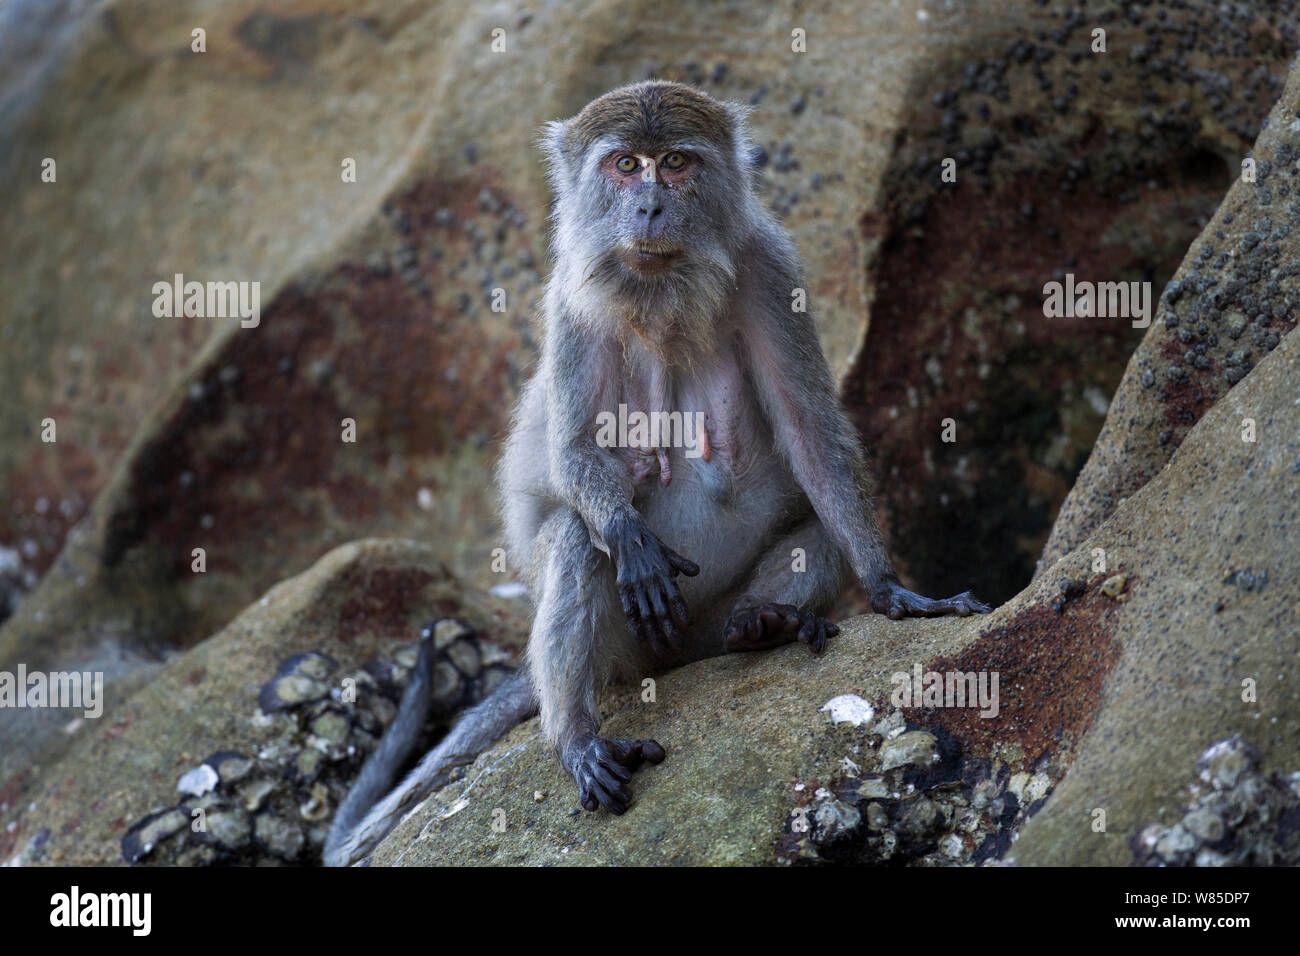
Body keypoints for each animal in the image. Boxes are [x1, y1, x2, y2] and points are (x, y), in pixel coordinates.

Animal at [324, 80, 988, 866]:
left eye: (673, 163)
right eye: (625, 165)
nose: (647, 208)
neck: (662, 289)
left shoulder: (771, 267)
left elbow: (811, 434)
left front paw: (890, 589)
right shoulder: (567, 297)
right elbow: (576, 453)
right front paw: (631, 538)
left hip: (695, 635)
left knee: (811, 536)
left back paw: (758, 622)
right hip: (625, 649)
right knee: (574, 542)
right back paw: (578, 738)